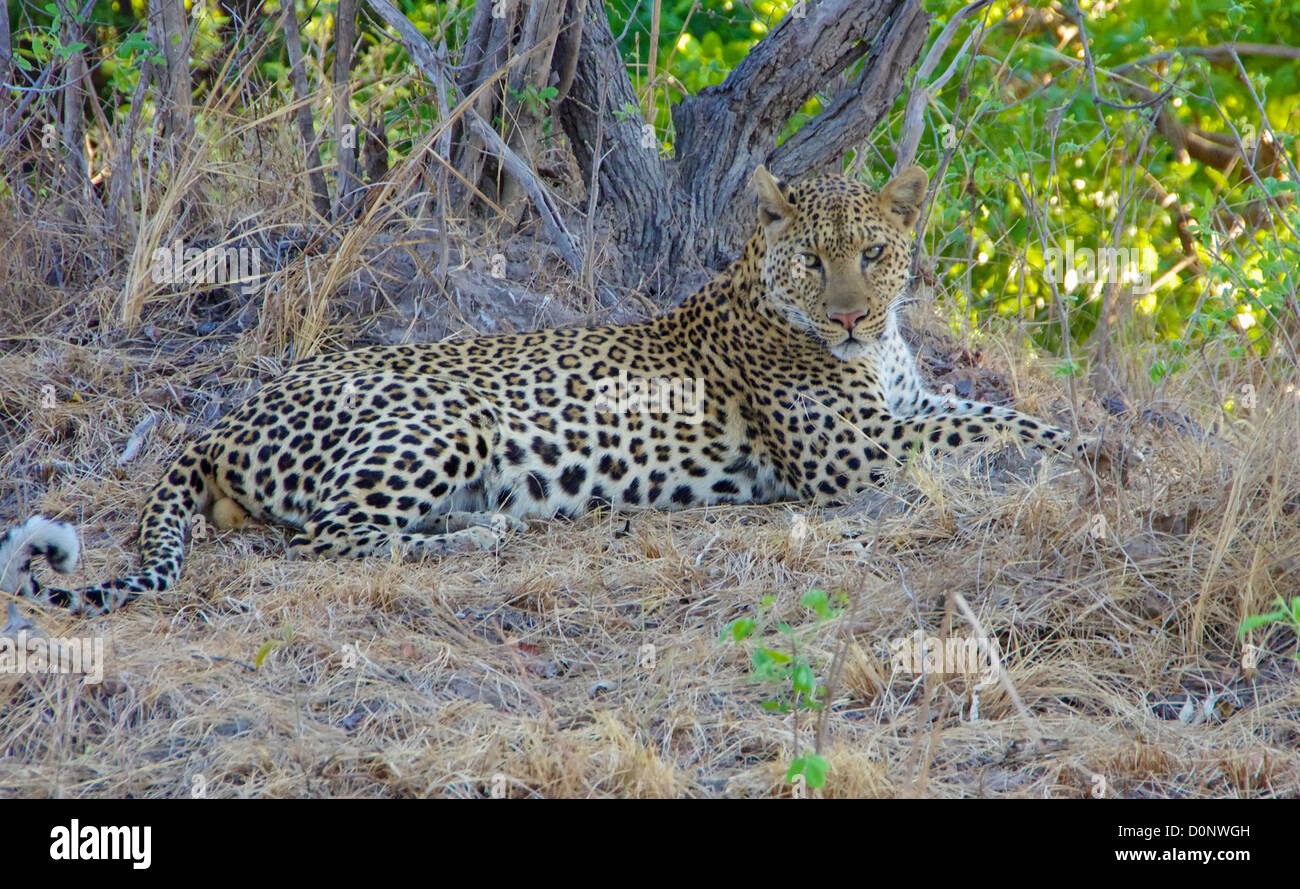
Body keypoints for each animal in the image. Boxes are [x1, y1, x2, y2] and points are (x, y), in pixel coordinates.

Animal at [1, 164, 1099, 616]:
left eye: (874, 253)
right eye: (816, 260)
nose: (851, 317)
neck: (878, 356)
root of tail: (223, 415)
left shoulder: (910, 407)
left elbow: (1000, 414)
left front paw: (1088, 443)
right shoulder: (854, 453)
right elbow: (996, 436)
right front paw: (1093, 457)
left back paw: (480, 525)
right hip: (447, 417)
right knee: (327, 539)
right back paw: (473, 540)